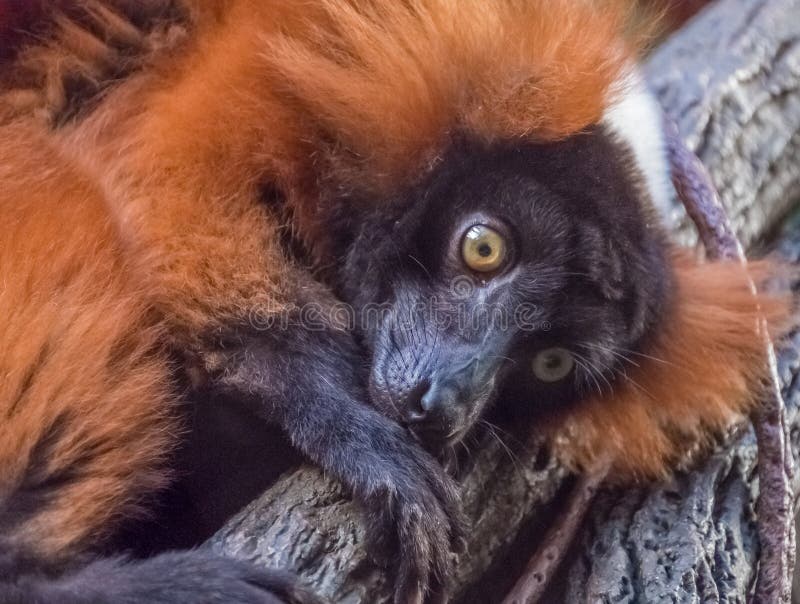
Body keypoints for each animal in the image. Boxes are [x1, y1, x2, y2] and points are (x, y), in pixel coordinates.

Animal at [0, 1, 790, 603]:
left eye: (552, 364)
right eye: (483, 248)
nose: (444, 400)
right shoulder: (220, 79)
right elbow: (167, 186)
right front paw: (352, 427)